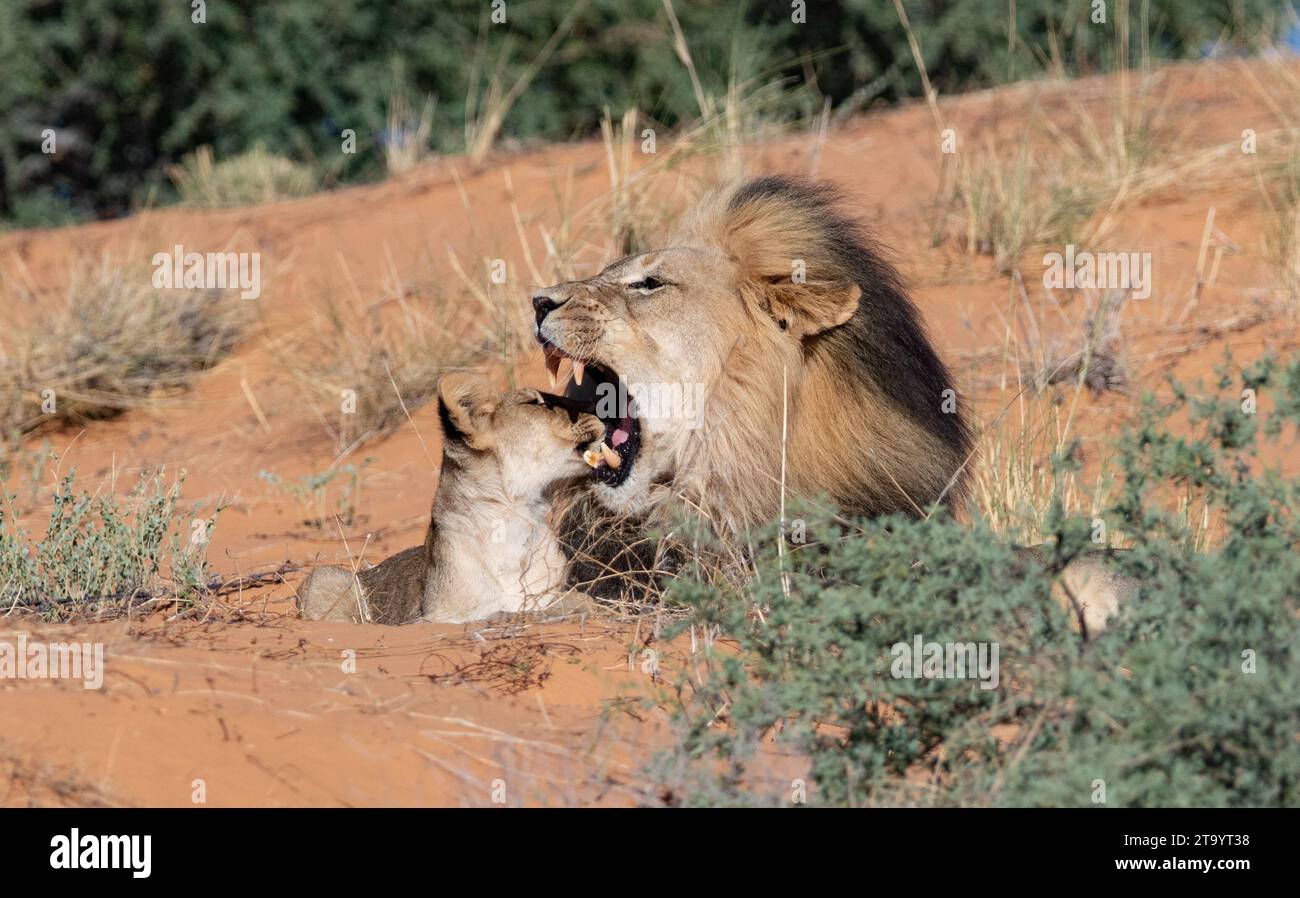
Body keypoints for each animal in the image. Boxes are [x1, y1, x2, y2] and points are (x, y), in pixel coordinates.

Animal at [297, 373, 604, 624]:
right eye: (535, 403)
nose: (597, 406)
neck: (517, 521)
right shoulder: (433, 620)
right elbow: (502, 613)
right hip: (324, 578)